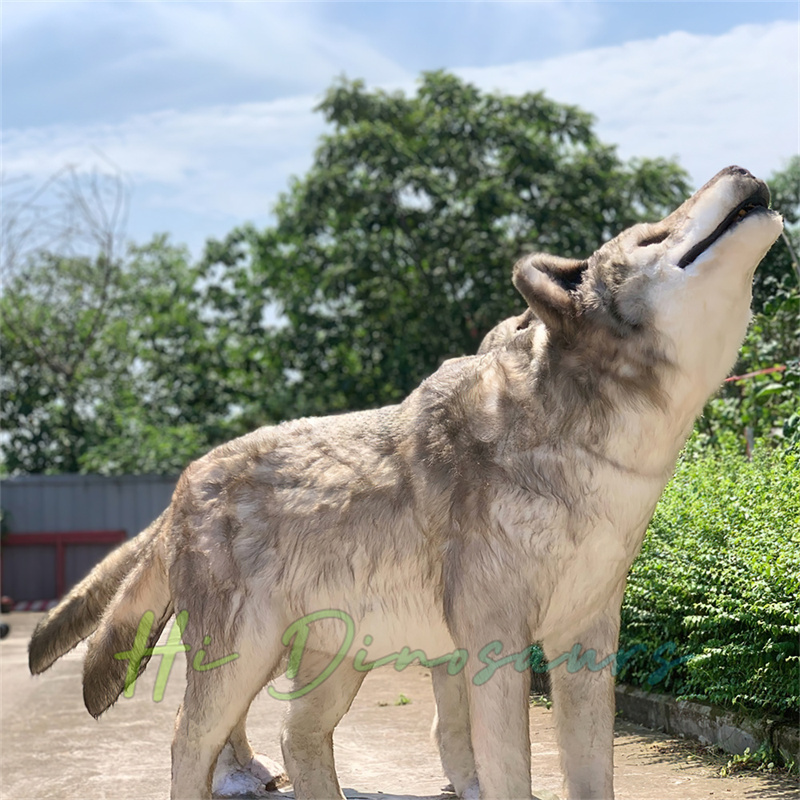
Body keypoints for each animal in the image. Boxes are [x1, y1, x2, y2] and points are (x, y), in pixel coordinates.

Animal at [29, 166, 781, 800]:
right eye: (655, 235)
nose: (741, 170)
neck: (588, 452)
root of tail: (183, 482)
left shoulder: (585, 645)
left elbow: (589, 778)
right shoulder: (493, 647)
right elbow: (499, 769)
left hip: (333, 660)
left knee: (298, 737)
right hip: (243, 659)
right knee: (191, 745)